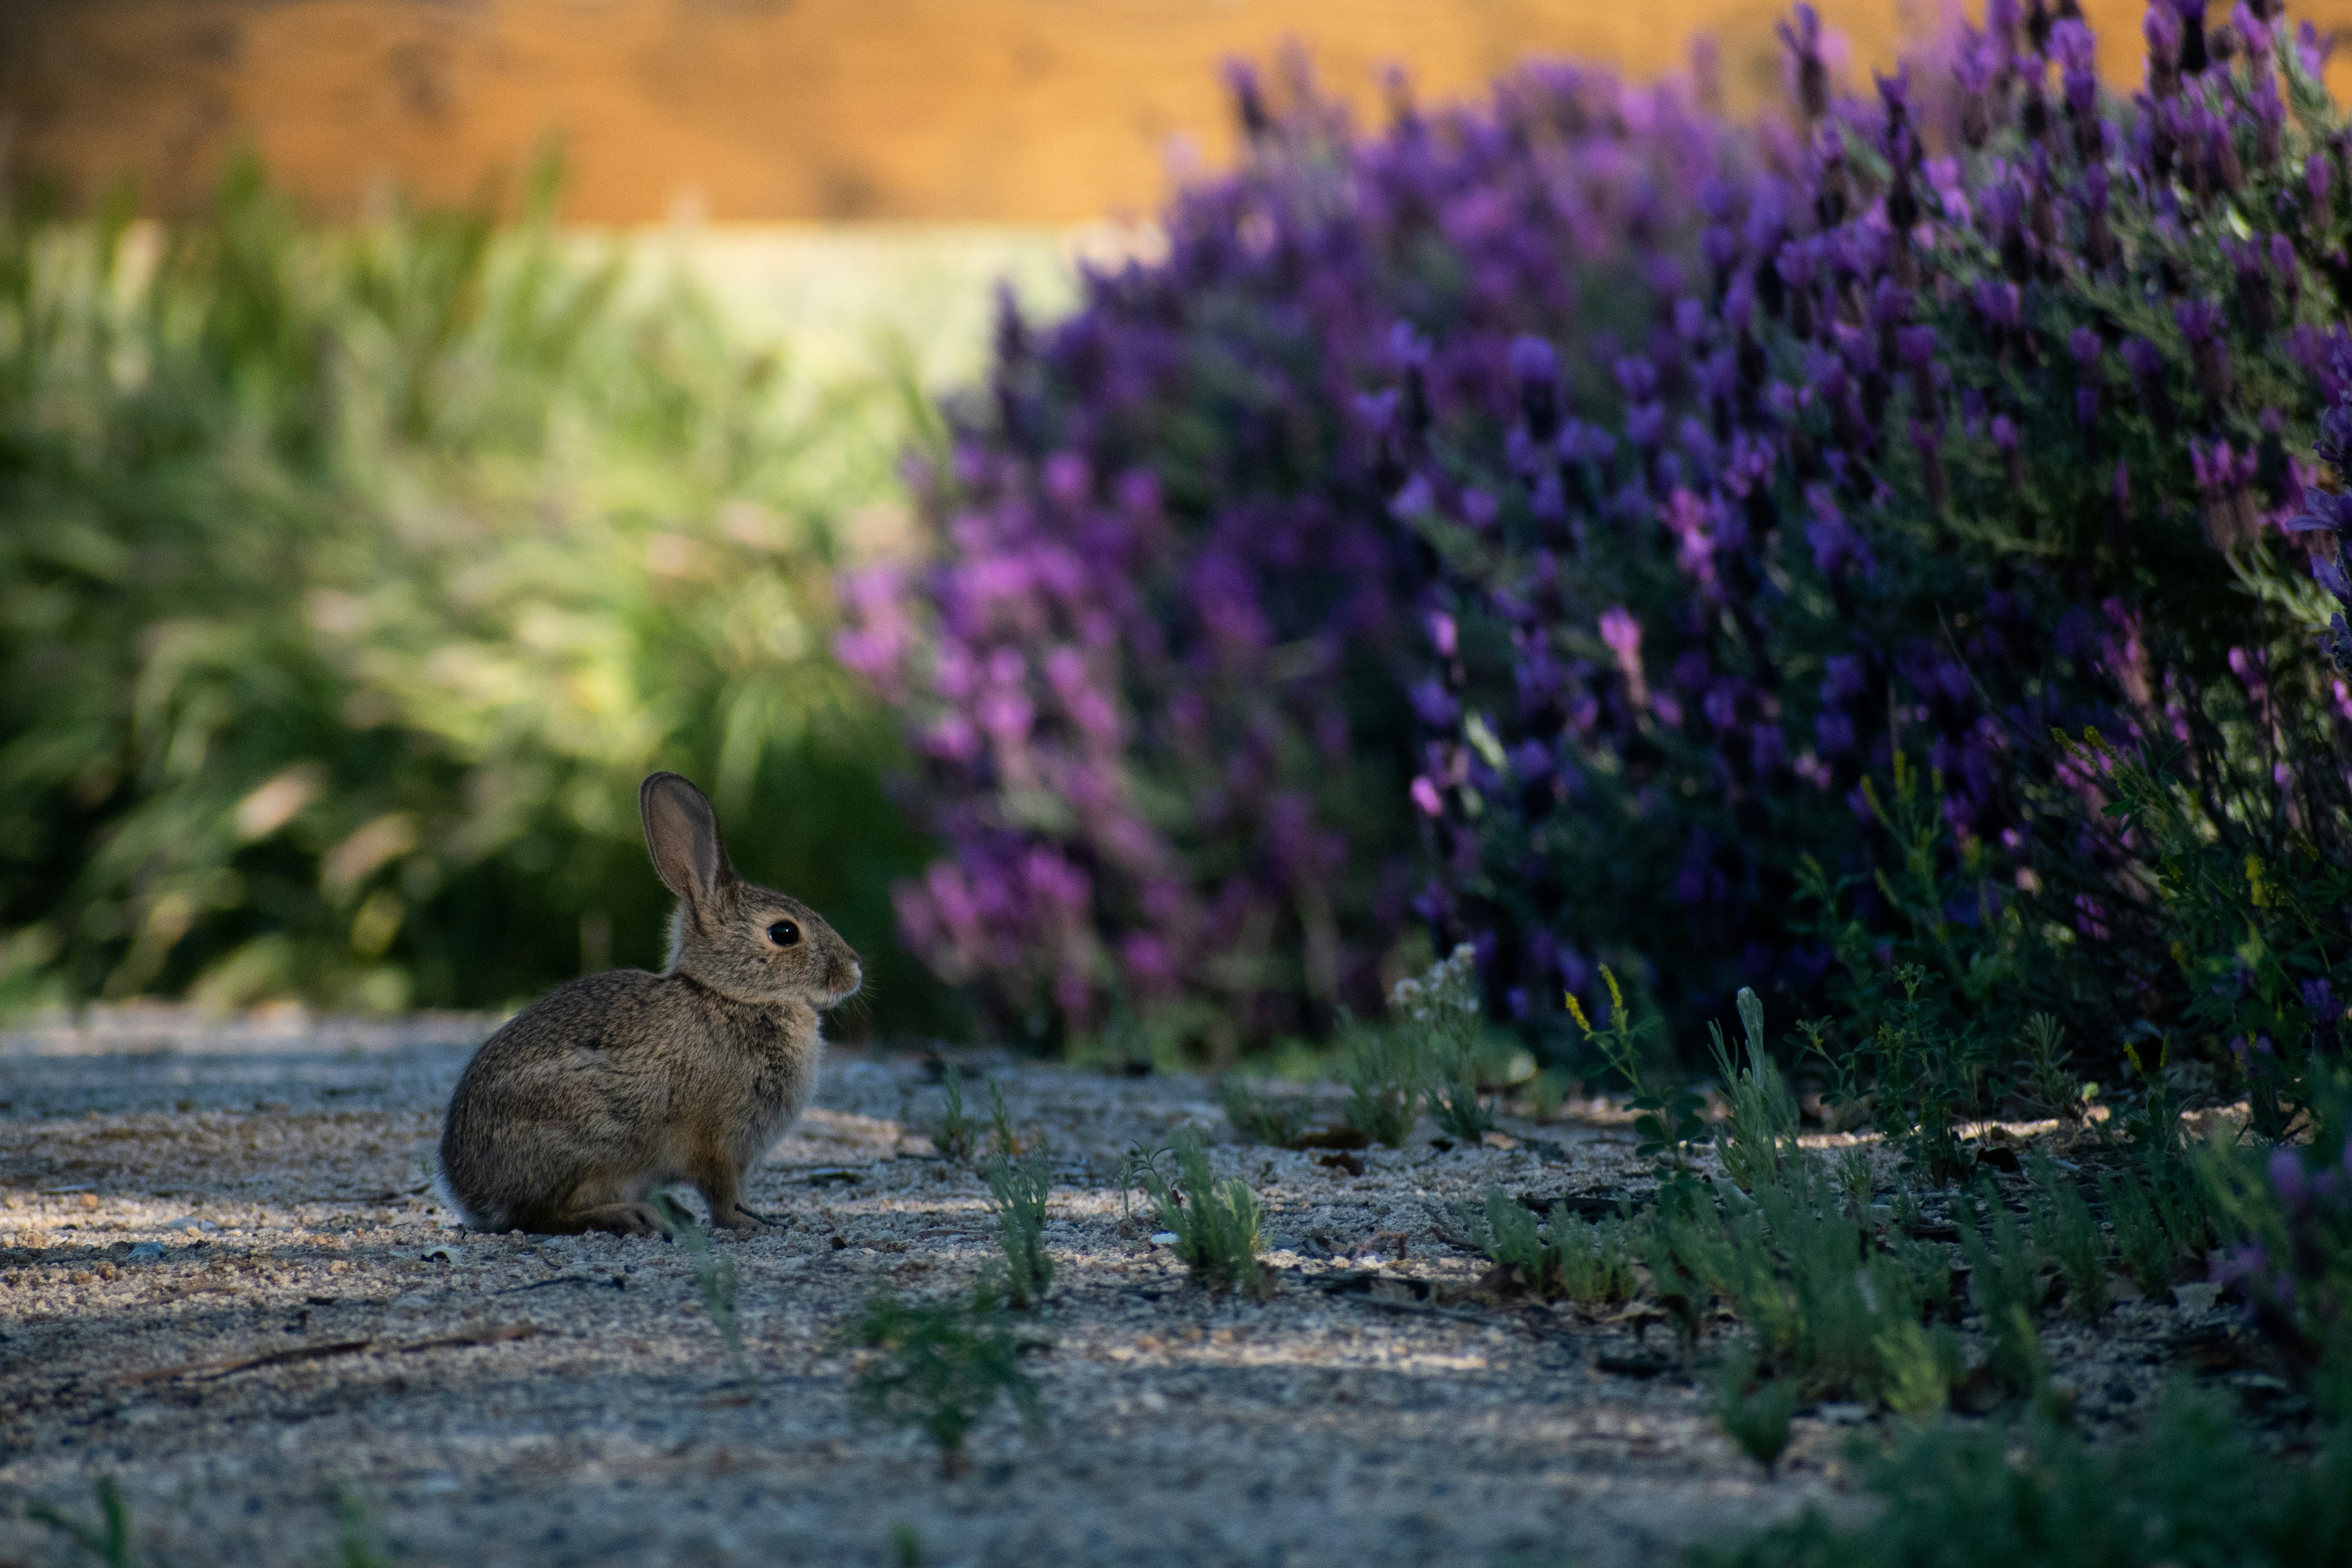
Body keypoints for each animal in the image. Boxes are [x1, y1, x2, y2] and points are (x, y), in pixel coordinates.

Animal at [435, 771, 862, 1237]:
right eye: (784, 933)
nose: (854, 970)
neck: (730, 996)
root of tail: (468, 1193)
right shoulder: (716, 1141)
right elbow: (722, 1192)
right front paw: (748, 1223)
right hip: (592, 1141)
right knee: (539, 1215)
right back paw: (634, 1215)